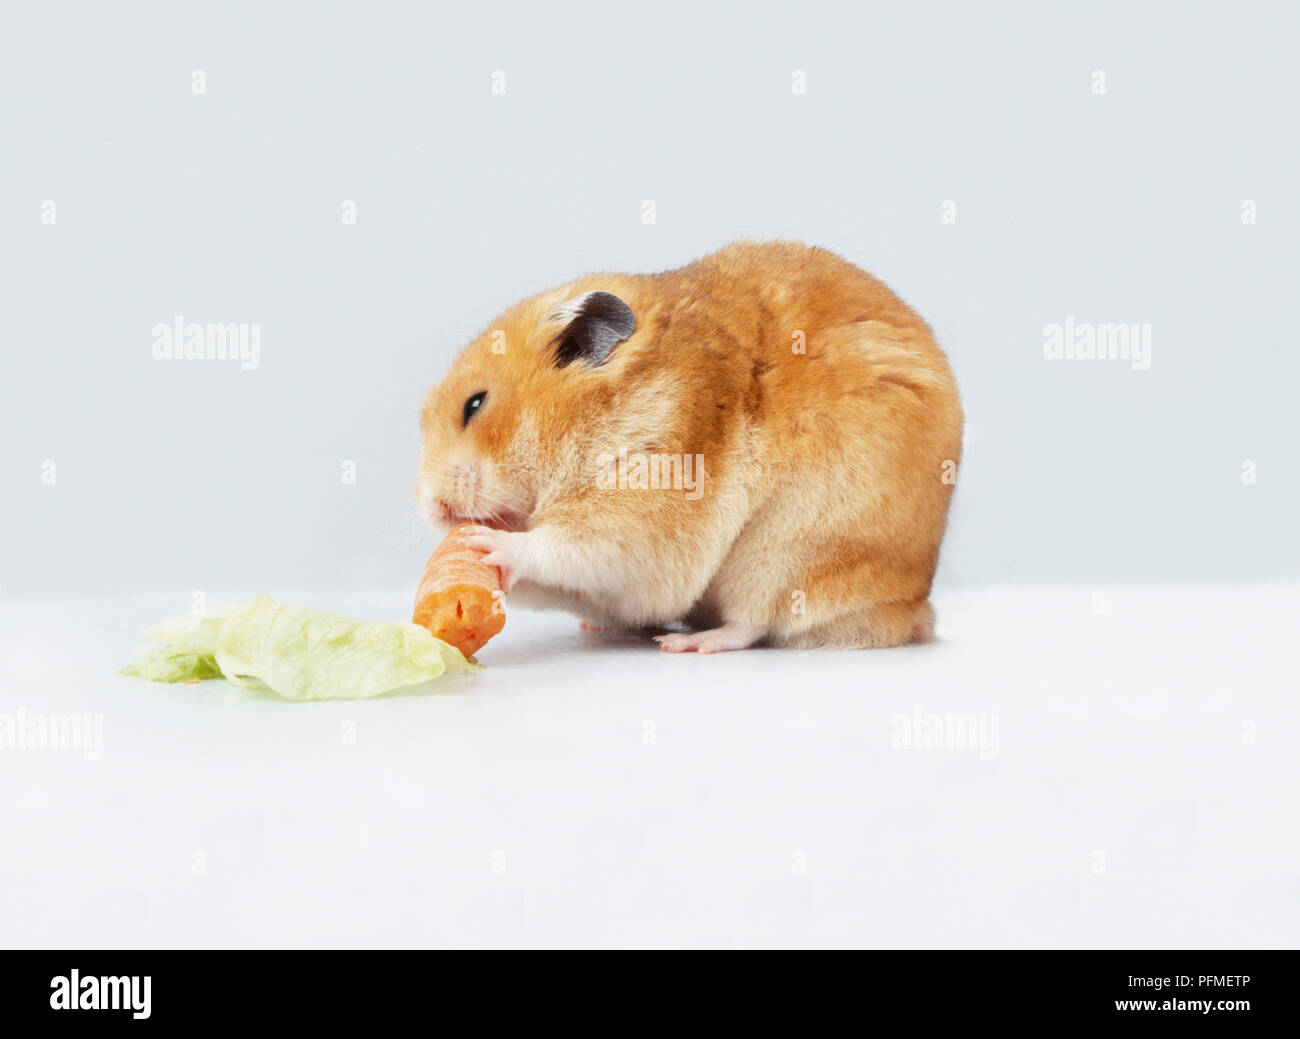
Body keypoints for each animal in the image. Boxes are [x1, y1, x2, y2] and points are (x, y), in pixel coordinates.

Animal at [416, 241, 963, 652]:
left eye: (474, 405)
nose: (434, 510)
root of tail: (912, 609)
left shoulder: (645, 506)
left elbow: (567, 545)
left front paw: (485, 544)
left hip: (790, 553)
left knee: (752, 623)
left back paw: (689, 644)